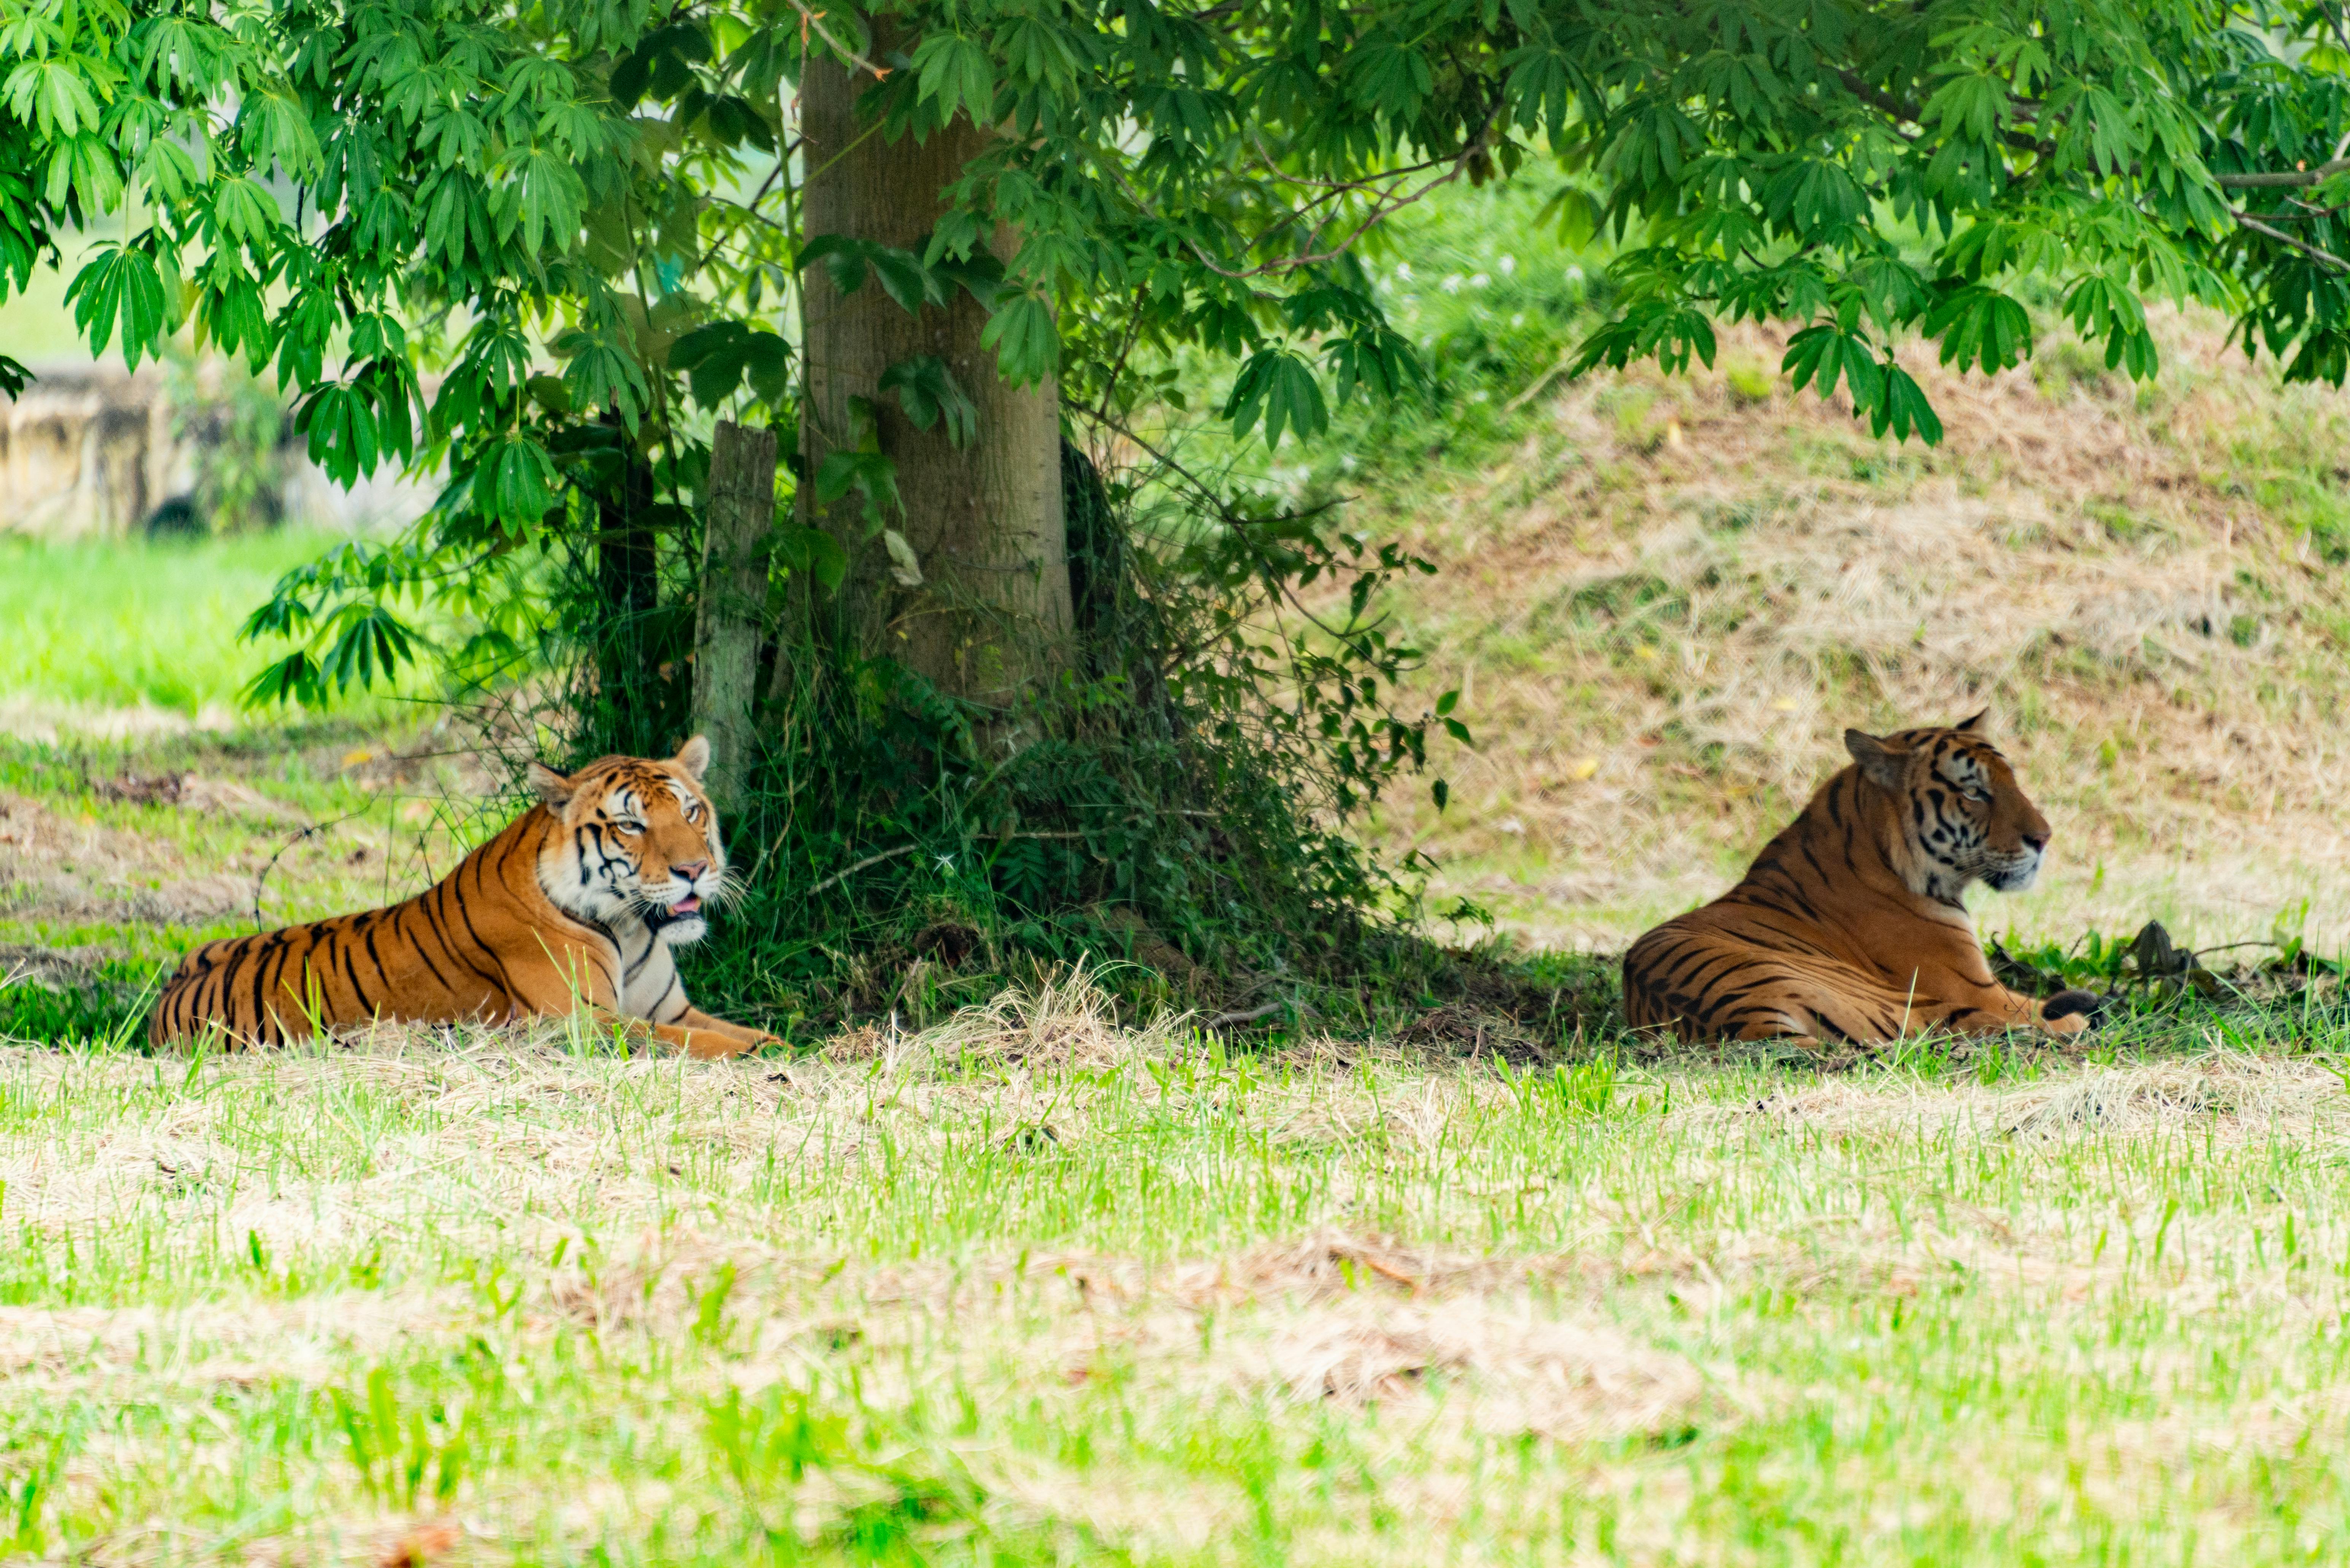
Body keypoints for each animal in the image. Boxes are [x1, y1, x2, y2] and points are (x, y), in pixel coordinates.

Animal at [149, 737, 779, 1058]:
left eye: (691, 811)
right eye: (630, 825)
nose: (696, 869)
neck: (632, 925)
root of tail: (166, 995)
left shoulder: (667, 1007)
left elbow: (730, 1028)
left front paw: (780, 1045)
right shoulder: (580, 1019)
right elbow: (696, 1041)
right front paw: (767, 1057)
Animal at [1620, 712, 2104, 1047]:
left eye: (2011, 781)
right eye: (1973, 792)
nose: (2044, 838)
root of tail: (1749, 1019)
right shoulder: (1980, 990)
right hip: (1910, 1005)